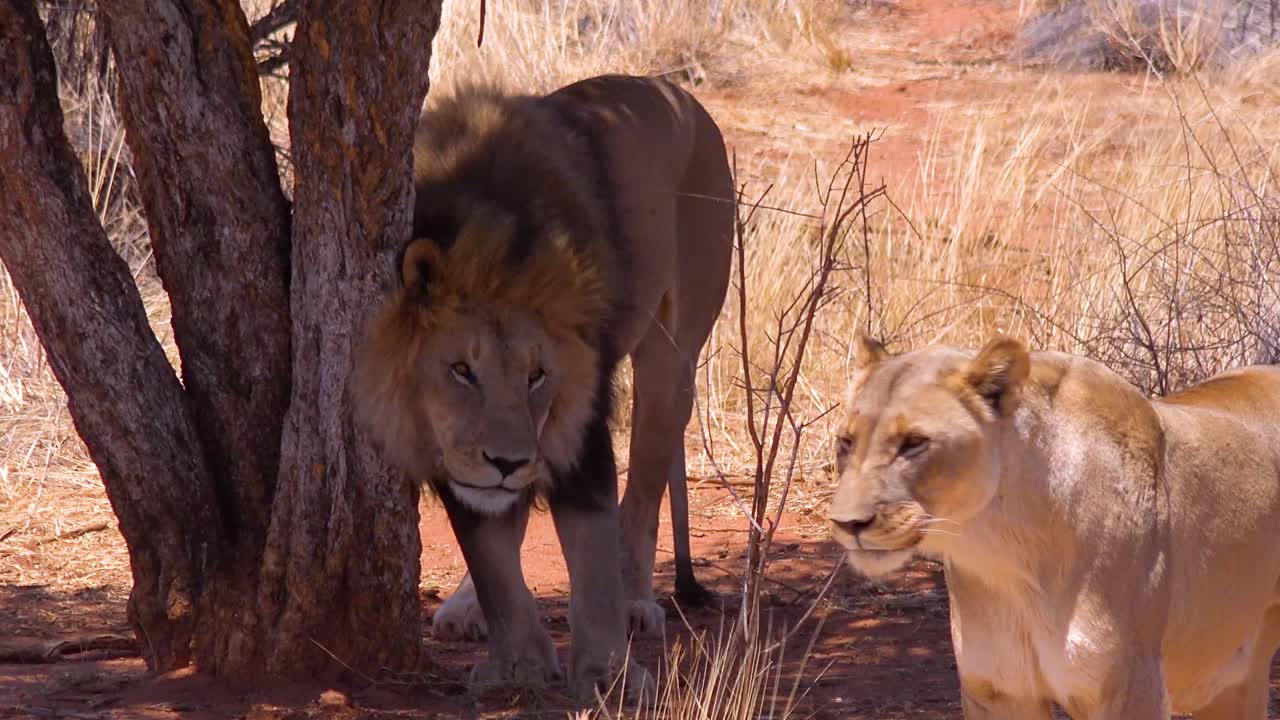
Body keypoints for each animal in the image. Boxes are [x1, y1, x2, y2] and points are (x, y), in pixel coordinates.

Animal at [351, 74, 732, 699]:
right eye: (462, 370)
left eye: (538, 375)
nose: (506, 461)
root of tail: (676, 92)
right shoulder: (448, 443)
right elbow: (490, 555)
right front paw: (519, 667)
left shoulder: (582, 414)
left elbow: (592, 548)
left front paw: (608, 673)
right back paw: (465, 607)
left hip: (671, 360)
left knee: (641, 499)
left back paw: (635, 602)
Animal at [827, 334, 1280, 718]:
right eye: (846, 442)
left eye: (914, 443)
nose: (848, 523)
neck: (1006, 552)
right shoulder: (1000, 692)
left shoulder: (1132, 686)